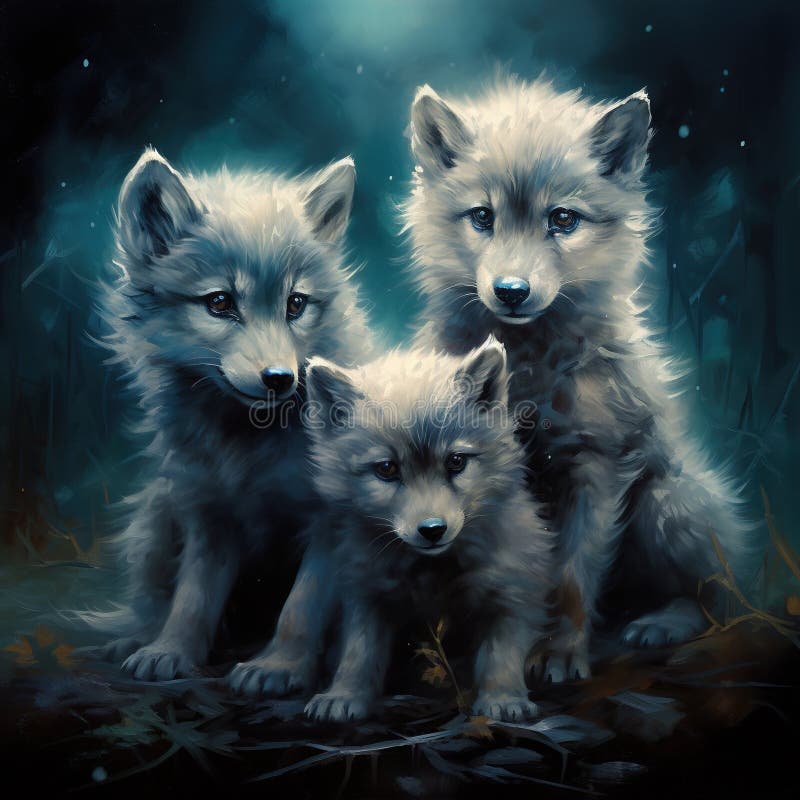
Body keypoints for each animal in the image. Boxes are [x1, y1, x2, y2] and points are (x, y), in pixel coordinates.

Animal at [81, 148, 371, 680]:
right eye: (219, 303)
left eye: (295, 304)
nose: (280, 378)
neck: (249, 444)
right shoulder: (209, 512)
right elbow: (192, 598)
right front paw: (172, 650)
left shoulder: (331, 523)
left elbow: (301, 605)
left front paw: (279, 666)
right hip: (159, 514)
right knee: (151, 599)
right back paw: (137, 637)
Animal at [230, 338, 553, 721]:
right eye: (387, 469)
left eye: (456, 462)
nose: (433, 530)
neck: (430, 573)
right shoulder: (365, 593)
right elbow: (359, 652)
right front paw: (343, 695)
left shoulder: (512, 593)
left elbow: (501, 654)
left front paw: (503, 699)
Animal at [404, 77, 753, 681]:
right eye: (482, 217)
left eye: (563, 220)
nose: (511, 291)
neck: (527, 371)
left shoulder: (598, 466)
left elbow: (571, 574)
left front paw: (561, 652)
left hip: (665, 503)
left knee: (714, 600)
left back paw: (661, 623)